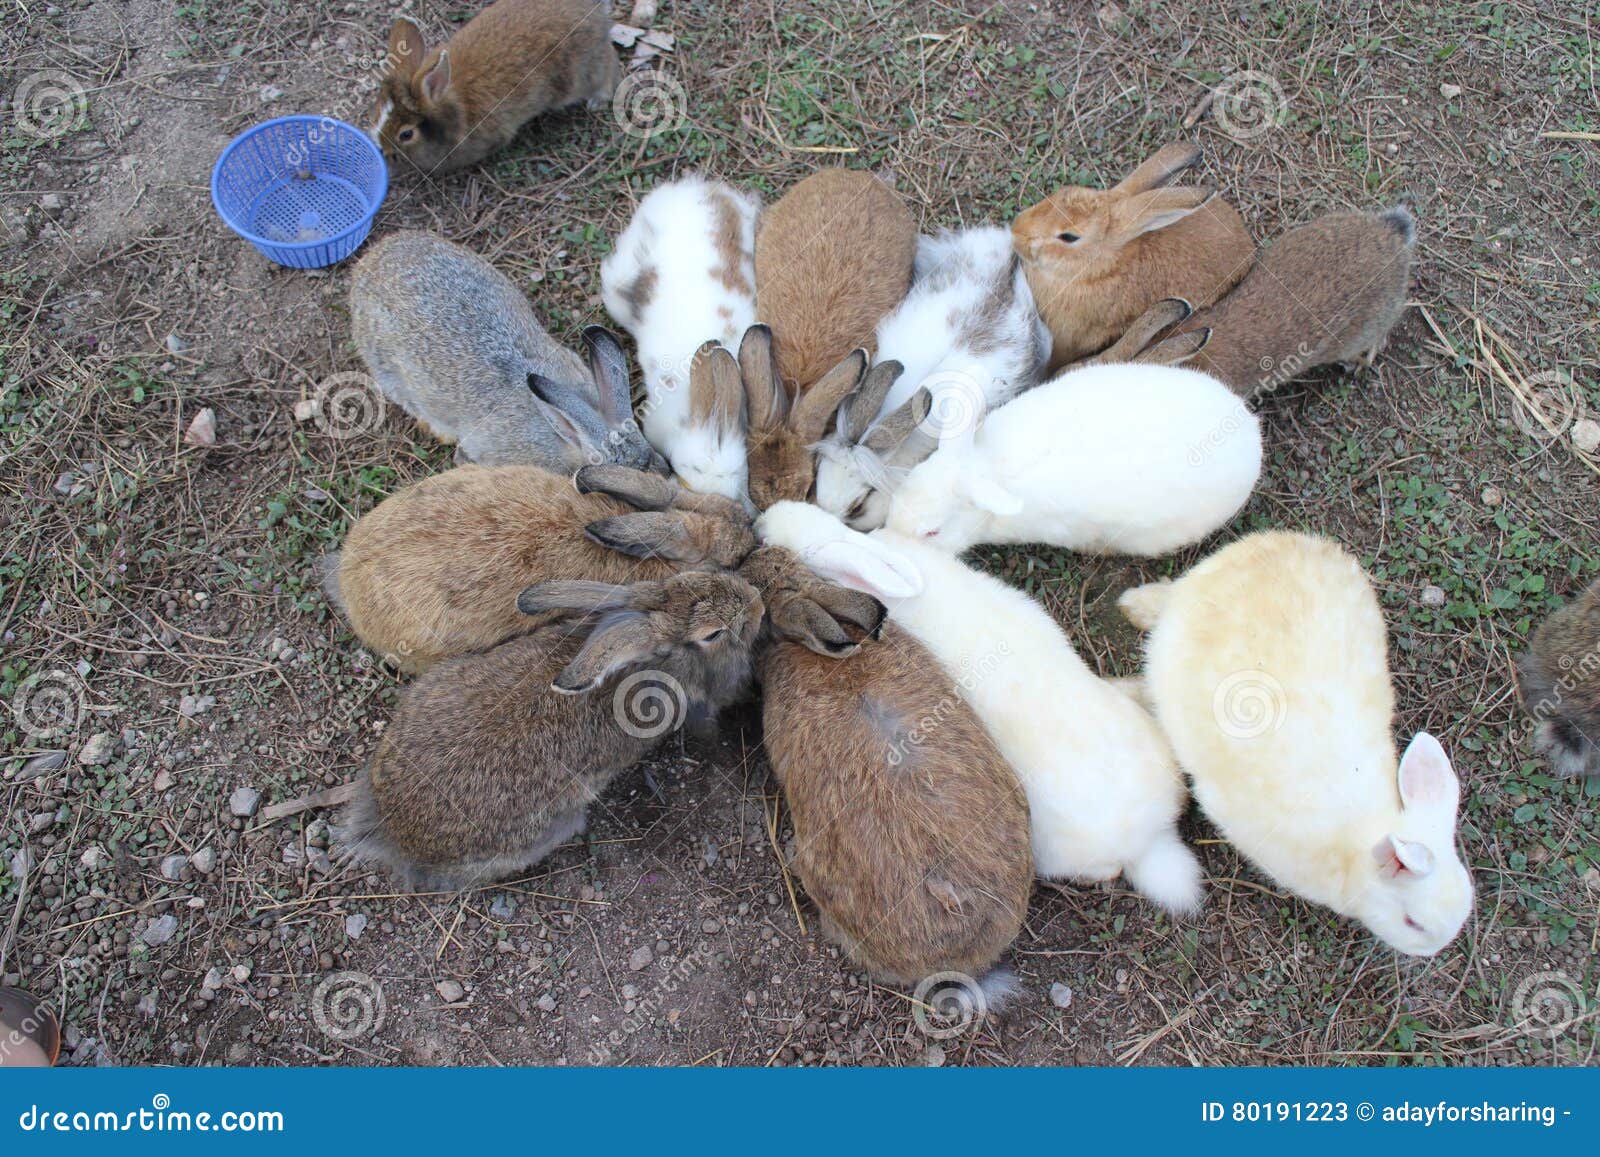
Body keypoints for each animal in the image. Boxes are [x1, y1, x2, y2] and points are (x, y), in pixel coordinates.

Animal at [369, 2, 618, 175]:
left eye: (406, 134)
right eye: (376, 116)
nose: (383, 151)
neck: (455, 107)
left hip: (579, 75)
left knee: (608, 61)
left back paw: (598, 100)